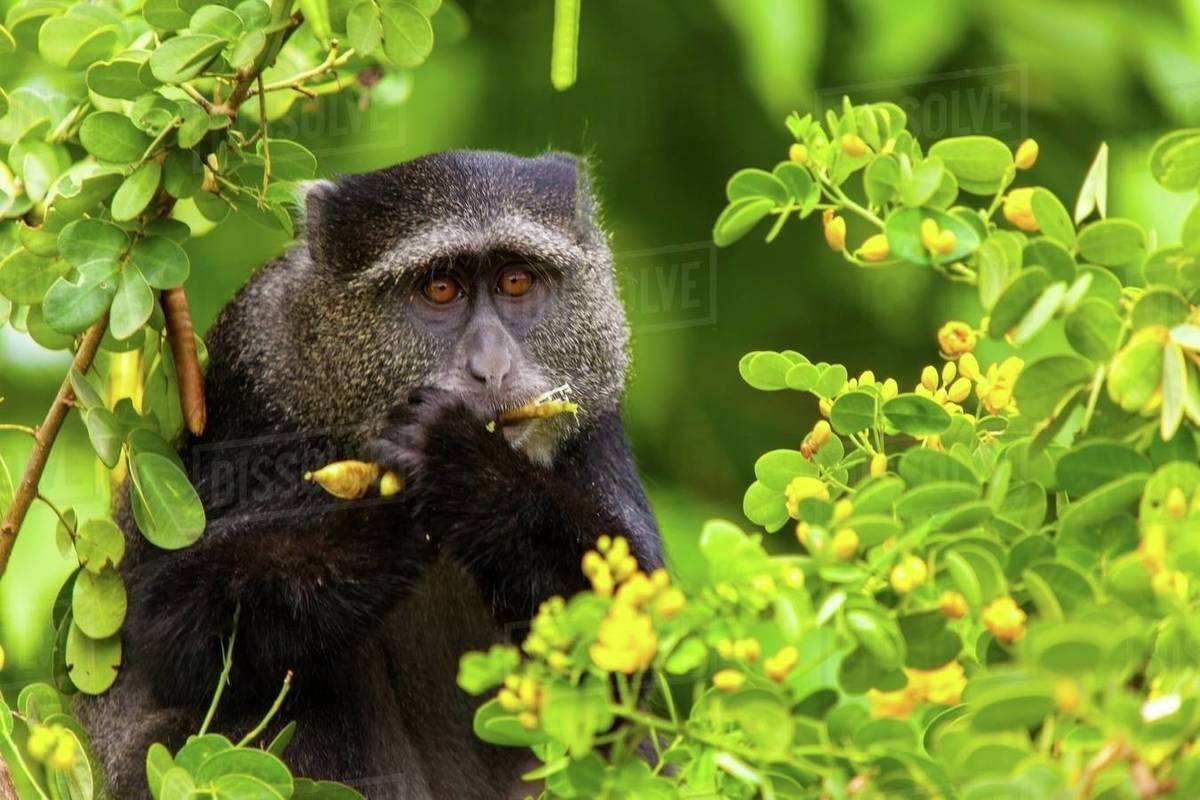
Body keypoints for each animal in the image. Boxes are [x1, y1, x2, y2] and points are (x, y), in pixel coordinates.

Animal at [75, 151, 662, 798]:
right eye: (440, 288)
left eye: (516, 281)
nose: (490, 367)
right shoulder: (253, 366)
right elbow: (164, 622)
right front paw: (383, 528)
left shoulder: (592, 412)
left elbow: (627, 643)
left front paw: (461, 467)